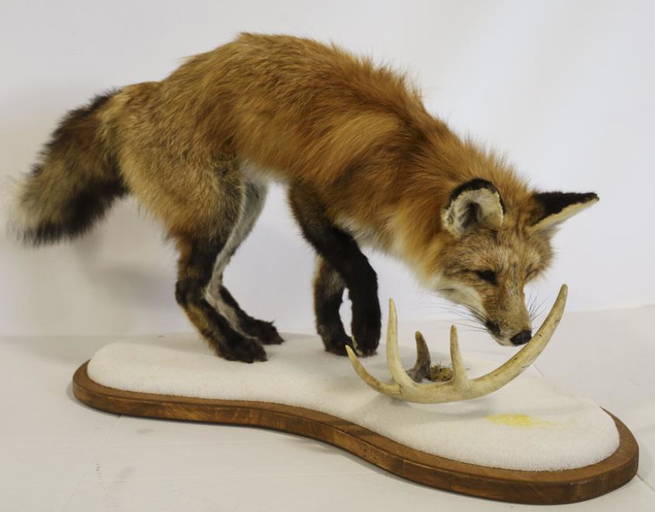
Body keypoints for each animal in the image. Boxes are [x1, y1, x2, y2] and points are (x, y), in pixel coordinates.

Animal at [11, 33, 598, 363]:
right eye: (485, 276)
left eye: (528, 277)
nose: (522, 336)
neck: (406, 168)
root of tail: (143, 91)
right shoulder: (309, 196)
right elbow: (361, 271)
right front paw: (366, 331)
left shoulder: (337, 221)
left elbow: (326, 283)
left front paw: (336, 340)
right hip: (218, 210)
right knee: (186, 288)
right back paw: (232, 347)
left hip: (244, 205)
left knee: (213, 280)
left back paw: (250, 327)